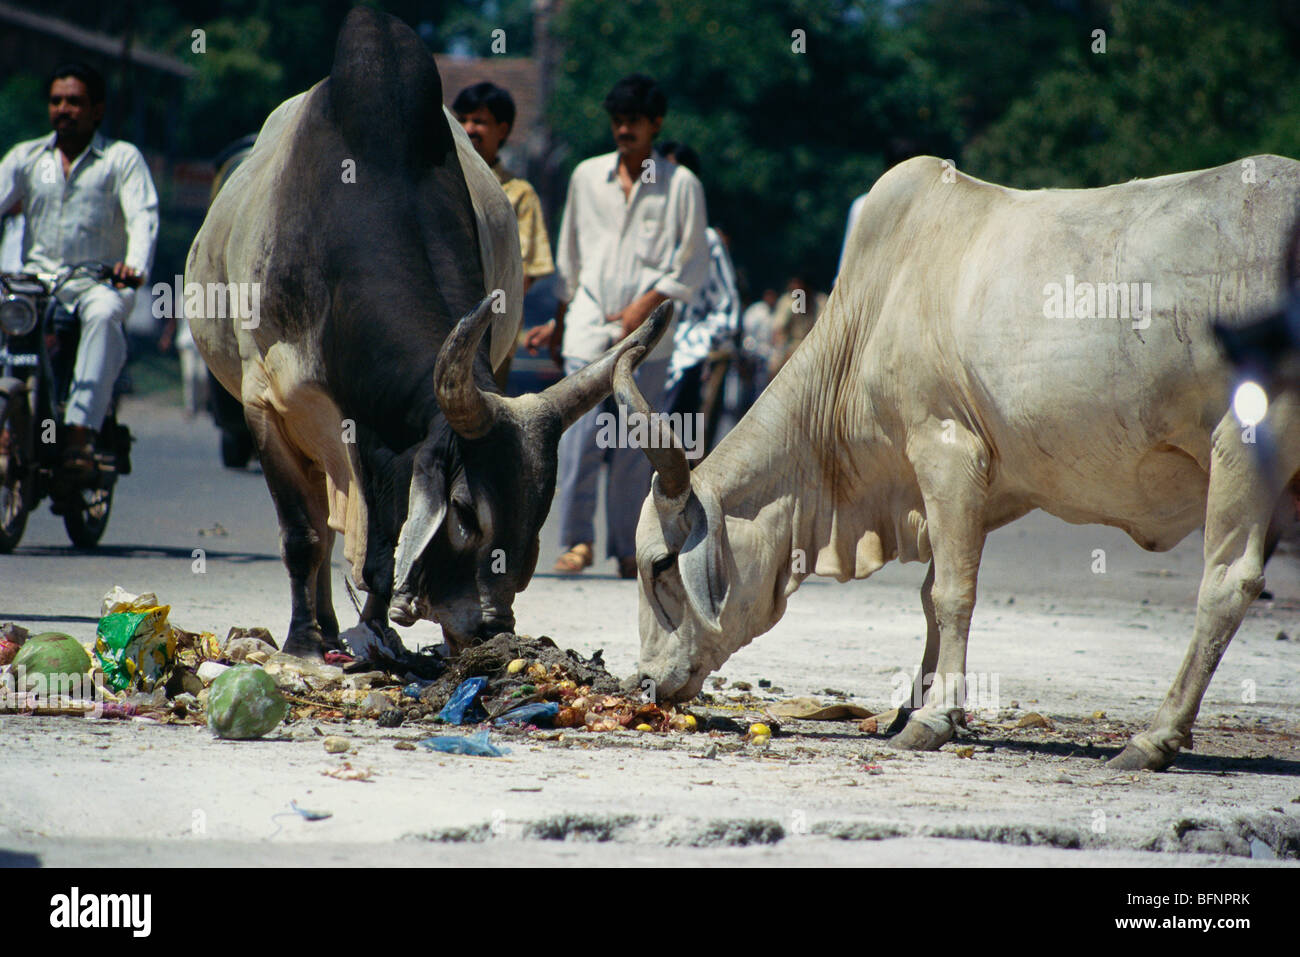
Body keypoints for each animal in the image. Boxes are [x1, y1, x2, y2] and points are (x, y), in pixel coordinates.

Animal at [185, 8, 670, 659]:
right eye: (464, 512)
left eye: (535, 516)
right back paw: (323, 628)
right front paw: (306, 641)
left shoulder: (388, 440)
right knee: (319, 529)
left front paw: (379, 634)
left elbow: (383, 550)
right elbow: (303, 534)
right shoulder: (265, 407)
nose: (491, 627)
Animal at [617, 154, 1300, 772]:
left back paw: (1153, 738)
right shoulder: (992, 483)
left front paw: (933, 719)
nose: (644, 682)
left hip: (1246, 440)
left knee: (1227, 584)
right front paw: (909, 709)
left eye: (658, 566)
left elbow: (952, 593)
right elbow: (930, 591)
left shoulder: (945, 449)